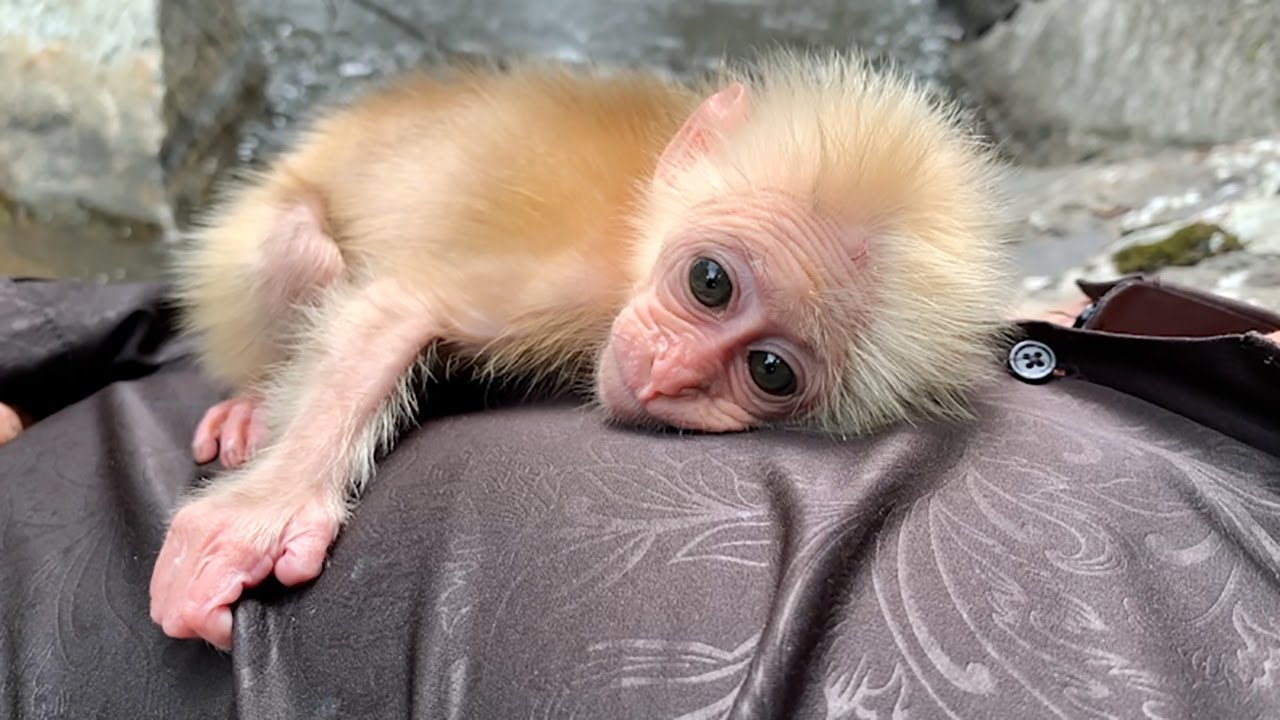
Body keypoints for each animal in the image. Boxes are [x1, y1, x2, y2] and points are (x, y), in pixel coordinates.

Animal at [149, 49, 1015, 650]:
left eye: (770, 370)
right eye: (709, 283)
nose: (672, 373)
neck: (639, 234)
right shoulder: (567, 284)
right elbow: (397, 310)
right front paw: (256, 518)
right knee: (301, 249)